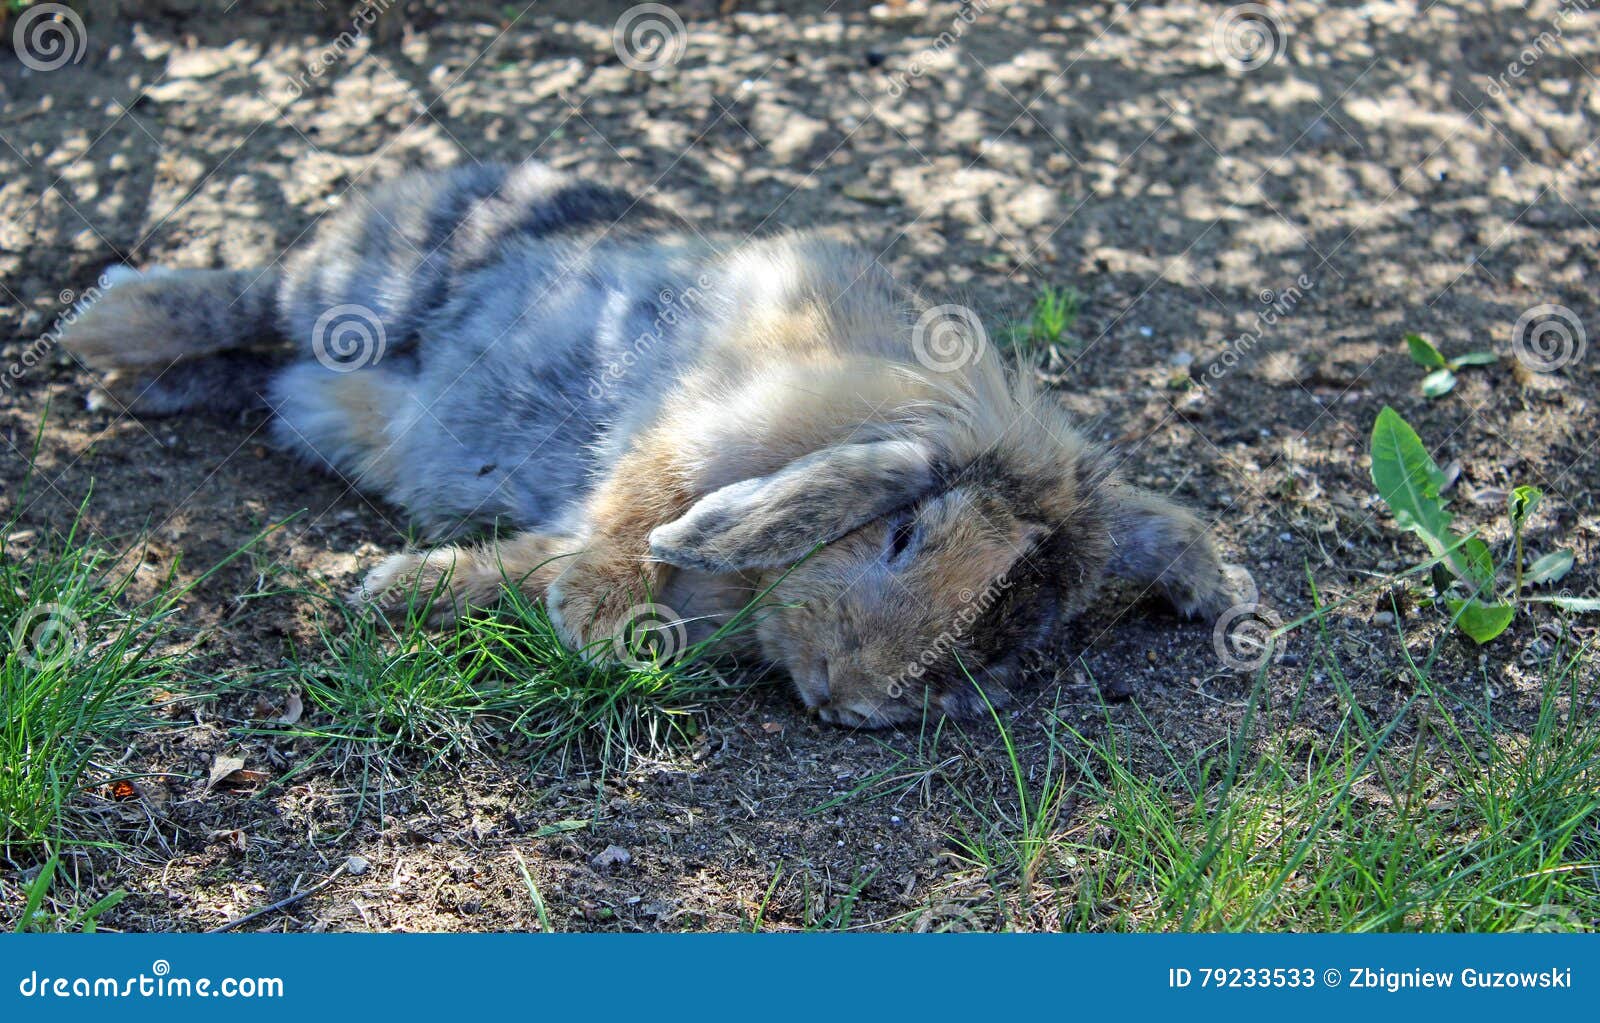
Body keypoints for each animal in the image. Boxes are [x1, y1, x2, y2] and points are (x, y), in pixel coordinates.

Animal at [61, 159, 1240, 728]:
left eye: (998, 655)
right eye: (902, 537)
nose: (844, 699)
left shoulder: (592, 511)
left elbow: (529, 560)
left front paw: (399, 592)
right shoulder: (684, 432)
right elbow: (637, 515)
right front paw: (603, 626)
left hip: (318, 389)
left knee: (261, 370)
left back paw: (139, 387)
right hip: (367, 285)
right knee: (255, 293)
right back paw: (104, 325)